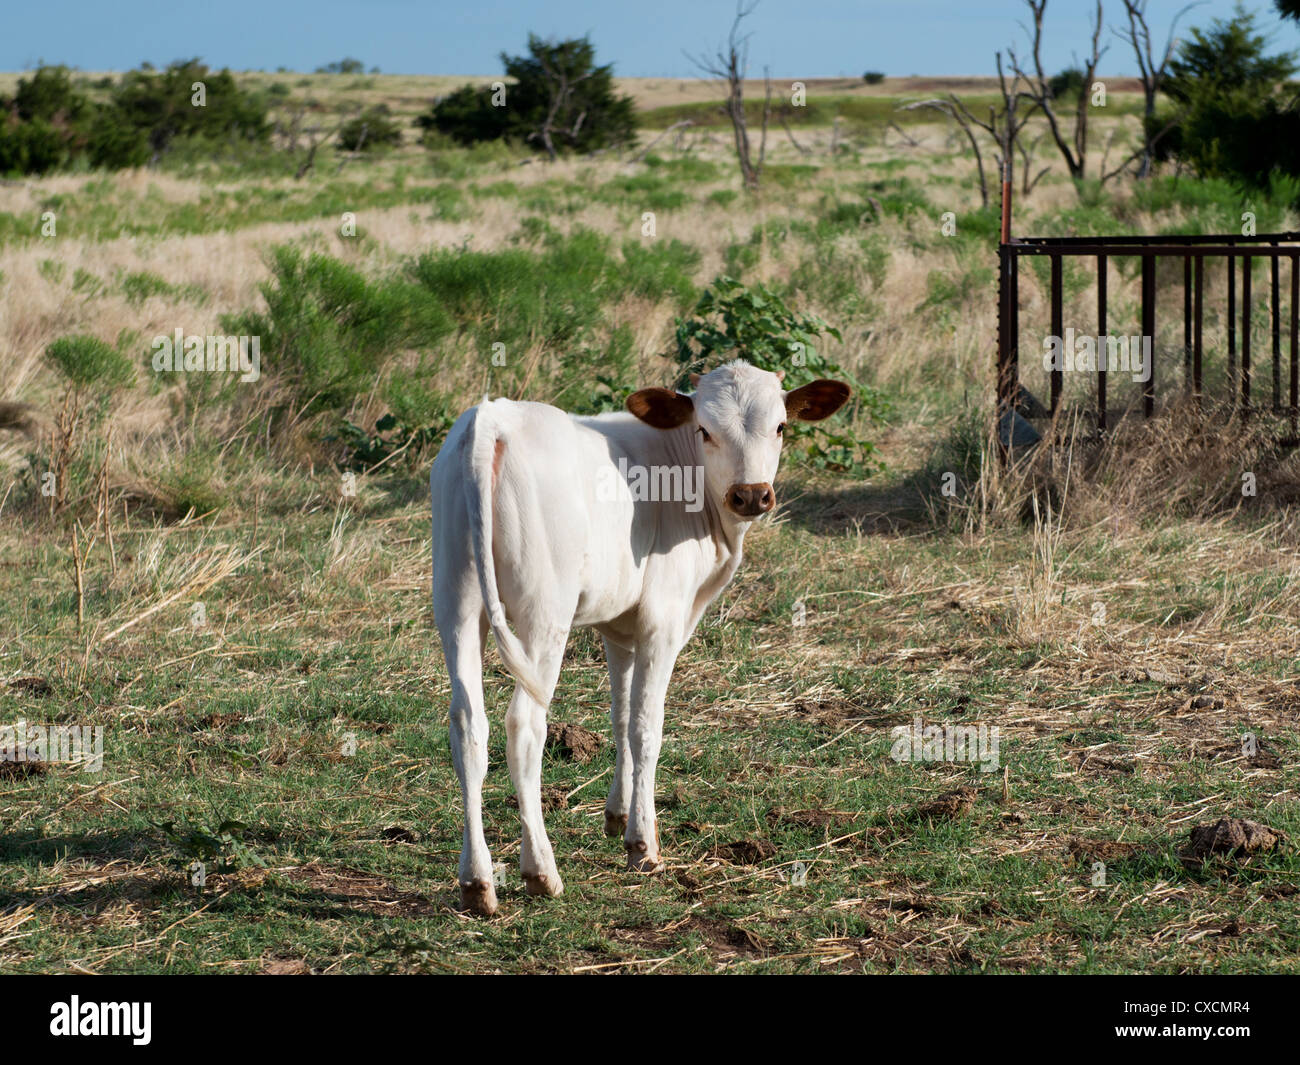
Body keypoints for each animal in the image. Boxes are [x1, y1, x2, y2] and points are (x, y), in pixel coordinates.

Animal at [430, 360, 851, 915]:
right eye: (704, 430)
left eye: (780, 426)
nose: (751, 495)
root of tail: (491, 419)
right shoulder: (663, 618)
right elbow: (647, 727)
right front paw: (643, 844)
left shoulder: (620, 627)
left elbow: (621, 716)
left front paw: (617, 816)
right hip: (545, 610)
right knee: (524, 725)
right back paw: (540, 871)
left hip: (455, 599)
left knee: (467, 726)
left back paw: (476, 882)